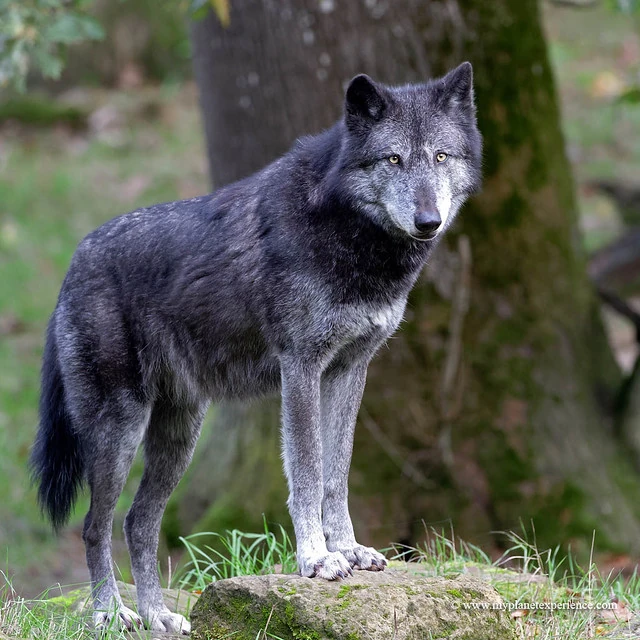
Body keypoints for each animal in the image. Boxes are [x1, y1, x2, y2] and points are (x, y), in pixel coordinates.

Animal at [30, 62, 482, 634]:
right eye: (394, 159)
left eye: (441, 157)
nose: (428, 221)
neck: (350, 237)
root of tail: (73, 264)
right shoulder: (301, 367)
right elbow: (308, 472)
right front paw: (316, 559)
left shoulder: (350, 370)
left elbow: (337, 473)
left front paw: (350, 549)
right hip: (121, 430)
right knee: (94, 524)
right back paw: (112, 613)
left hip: (180, 437)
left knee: (138, 522)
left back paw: (159, 616)